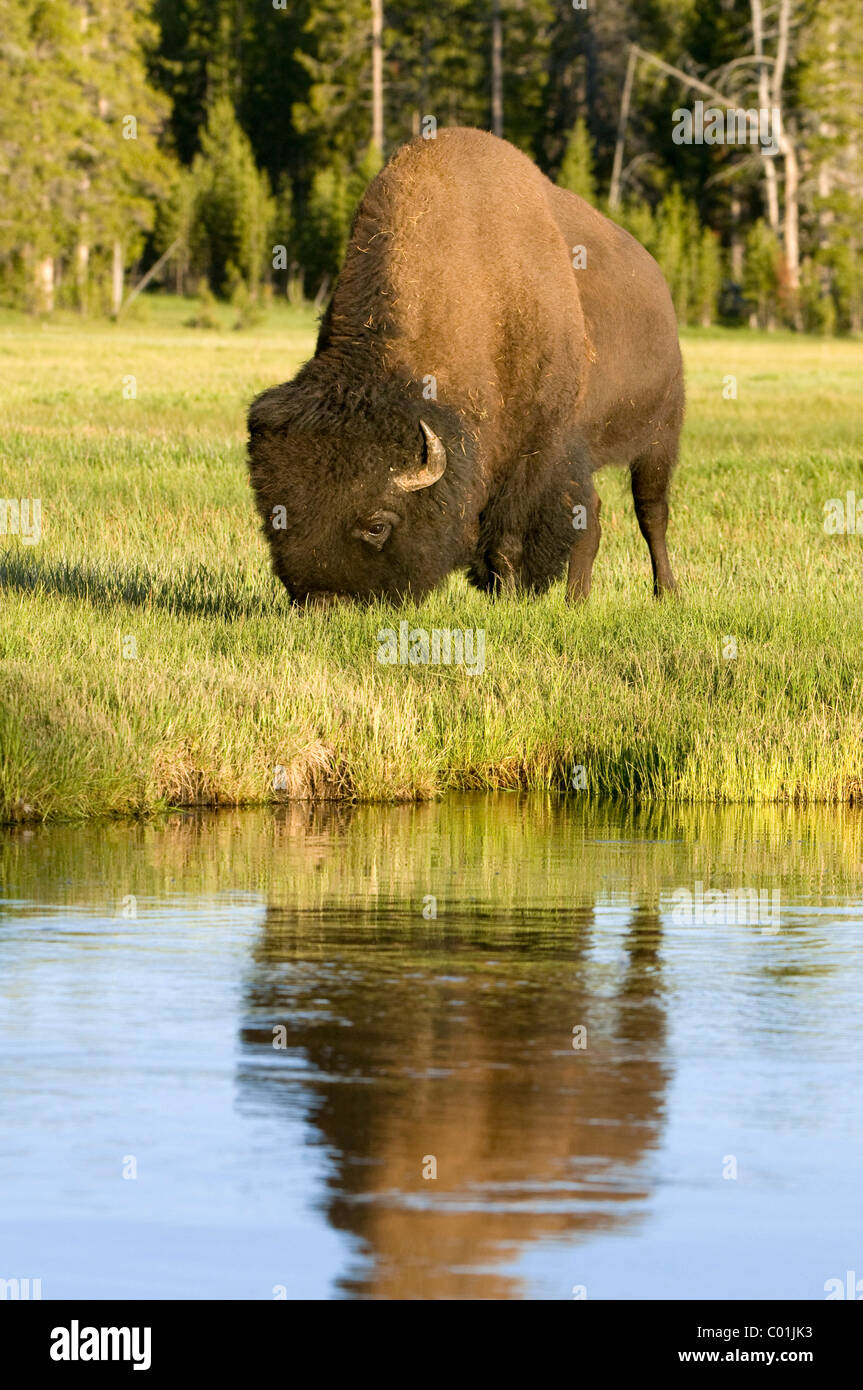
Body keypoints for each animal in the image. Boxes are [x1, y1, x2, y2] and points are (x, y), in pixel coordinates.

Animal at [247, 127, 683, 606]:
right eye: (276, 519)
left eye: (377, 526)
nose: (322, 604)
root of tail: (658, 285)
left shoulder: (533, 456)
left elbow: (509, 537)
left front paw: (507, 597)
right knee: (596, 518)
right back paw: (578, 600)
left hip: (659, 437)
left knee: (650, 512)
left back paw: (665, 592)